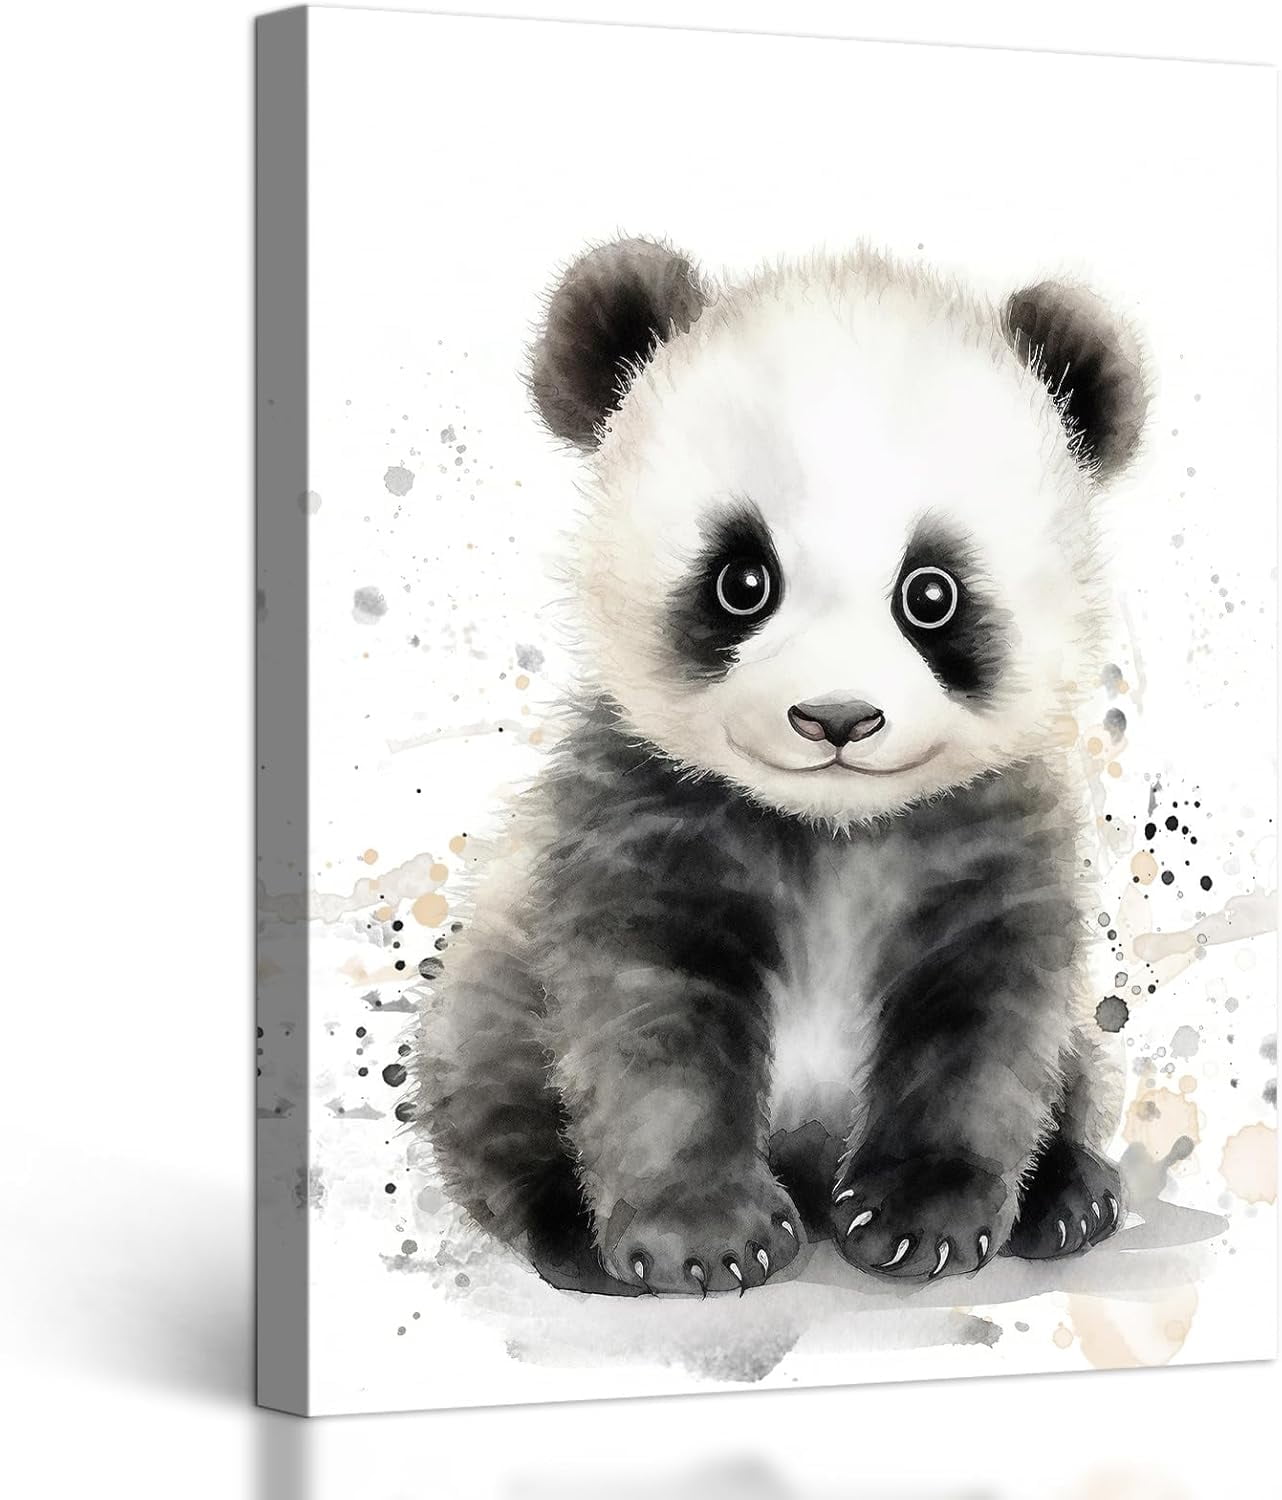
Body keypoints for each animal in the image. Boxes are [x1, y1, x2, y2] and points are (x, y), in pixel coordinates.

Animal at [416, 236, 1148, 1296]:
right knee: (491, 1097)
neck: (830, 830)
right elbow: (656, 1030)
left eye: (931, 594)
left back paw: (1069, 1198)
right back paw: (572, 1236)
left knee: (1075, 1069)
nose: (836, 717)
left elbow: (982, 1033)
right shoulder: (639, 825)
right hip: (493, 986)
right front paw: (708, 1239)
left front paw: (919, 1221)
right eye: (742, 580)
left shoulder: (989, 839)